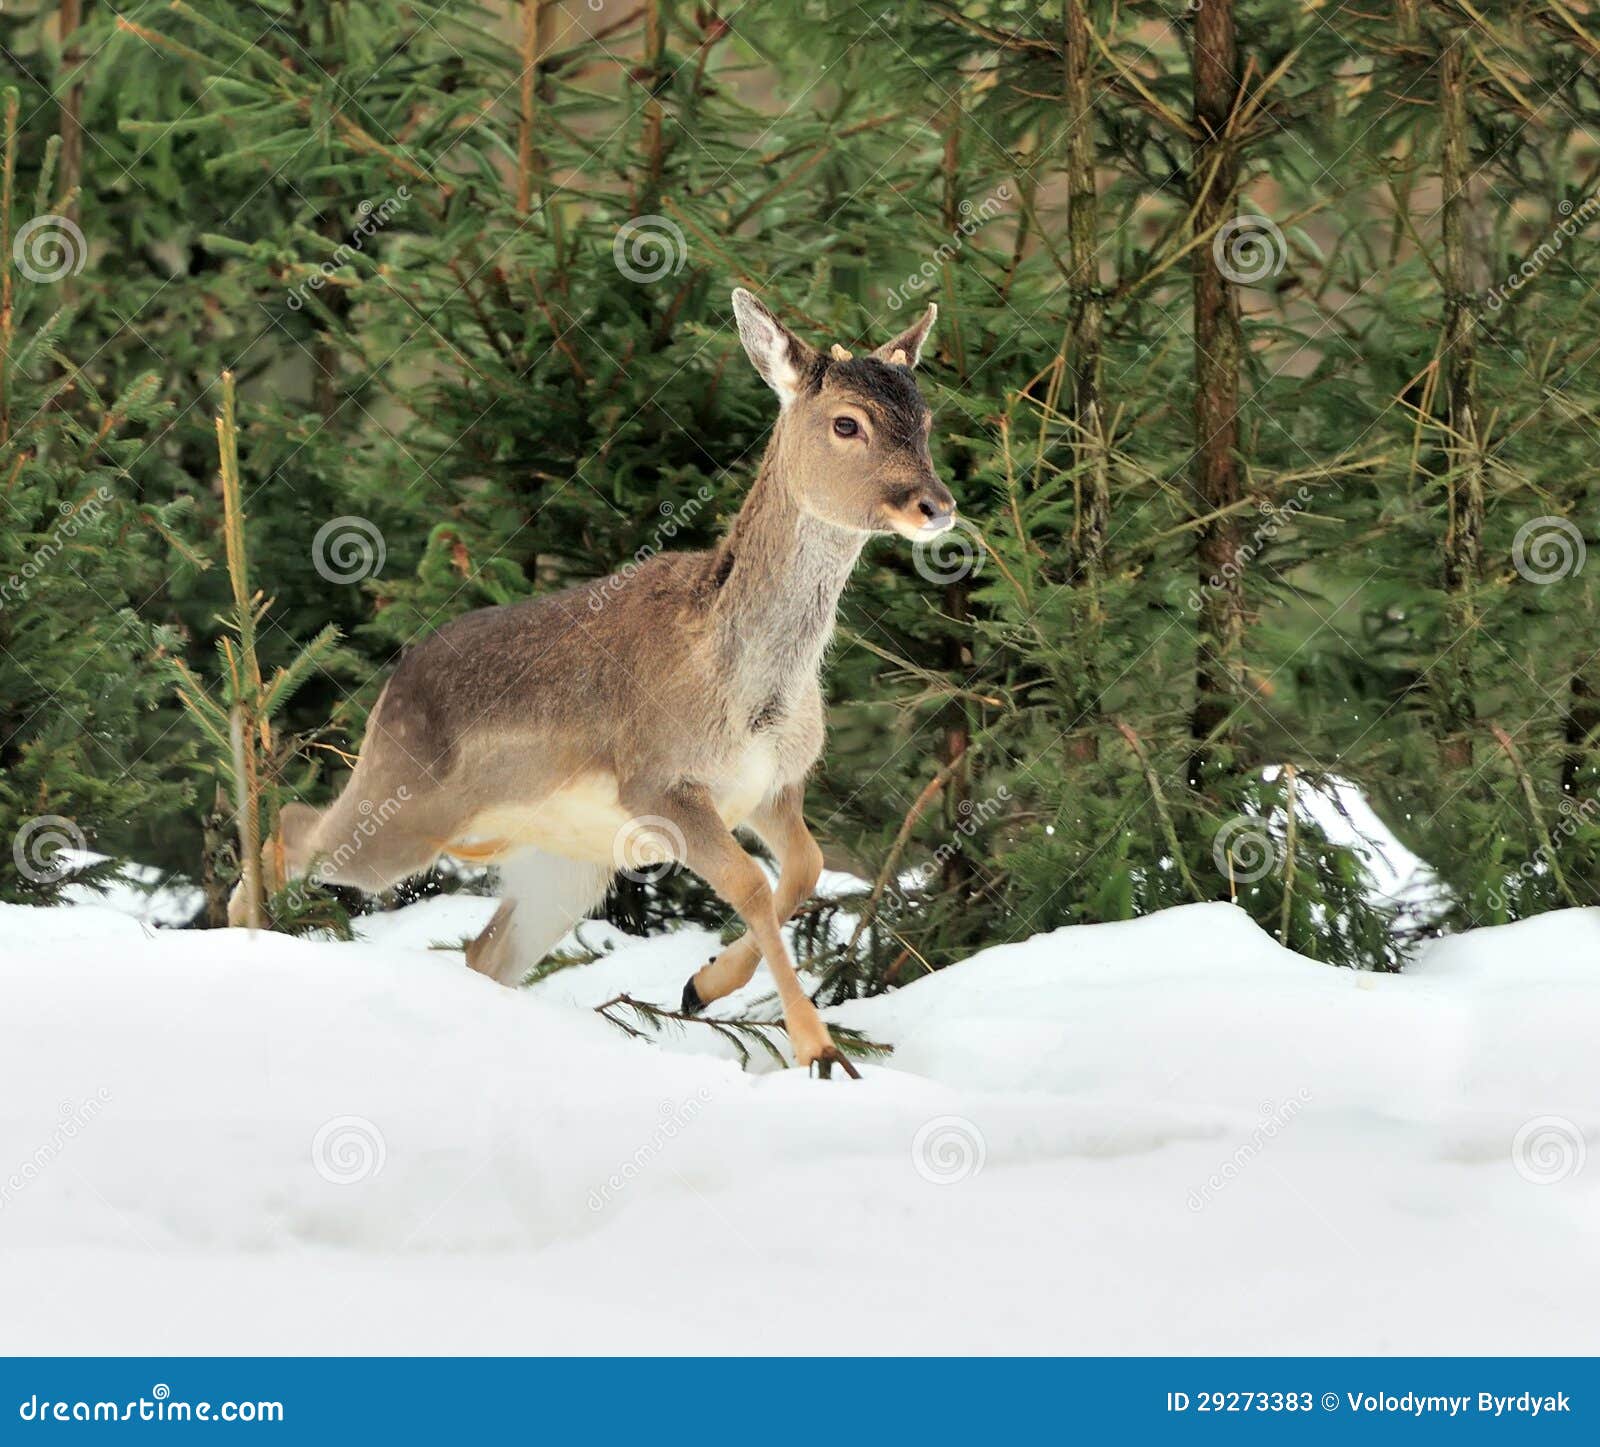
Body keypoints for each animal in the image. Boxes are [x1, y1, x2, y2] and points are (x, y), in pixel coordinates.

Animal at [240, 289, 953, 1078]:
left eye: (925, 418)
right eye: (846, 422)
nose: (935, 504)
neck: (751, 688)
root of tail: (394, 686)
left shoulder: (775, 783)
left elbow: (805, 867)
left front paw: (704, 984)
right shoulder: (658, 781)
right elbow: (750, 883)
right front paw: (817, 1047)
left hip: (563, 862)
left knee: (484, 951)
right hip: (401, 810)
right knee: (295, 826)